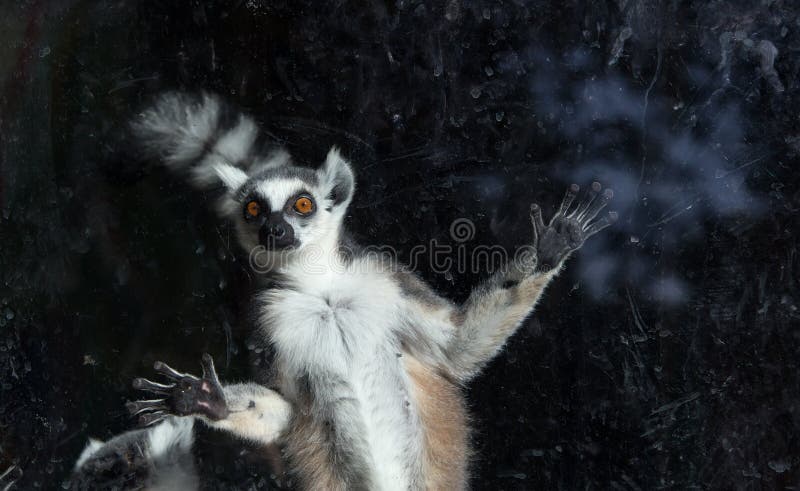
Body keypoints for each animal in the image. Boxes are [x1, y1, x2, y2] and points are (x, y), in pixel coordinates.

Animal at [72, 91, 616, 490]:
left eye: (302, 204)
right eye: (254, 209)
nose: (274, 230)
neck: (323, 291)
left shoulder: (386, 281)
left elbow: (455, 351)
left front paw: (549, 249)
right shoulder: (269, 323)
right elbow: (285, 412)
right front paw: (205, 400)